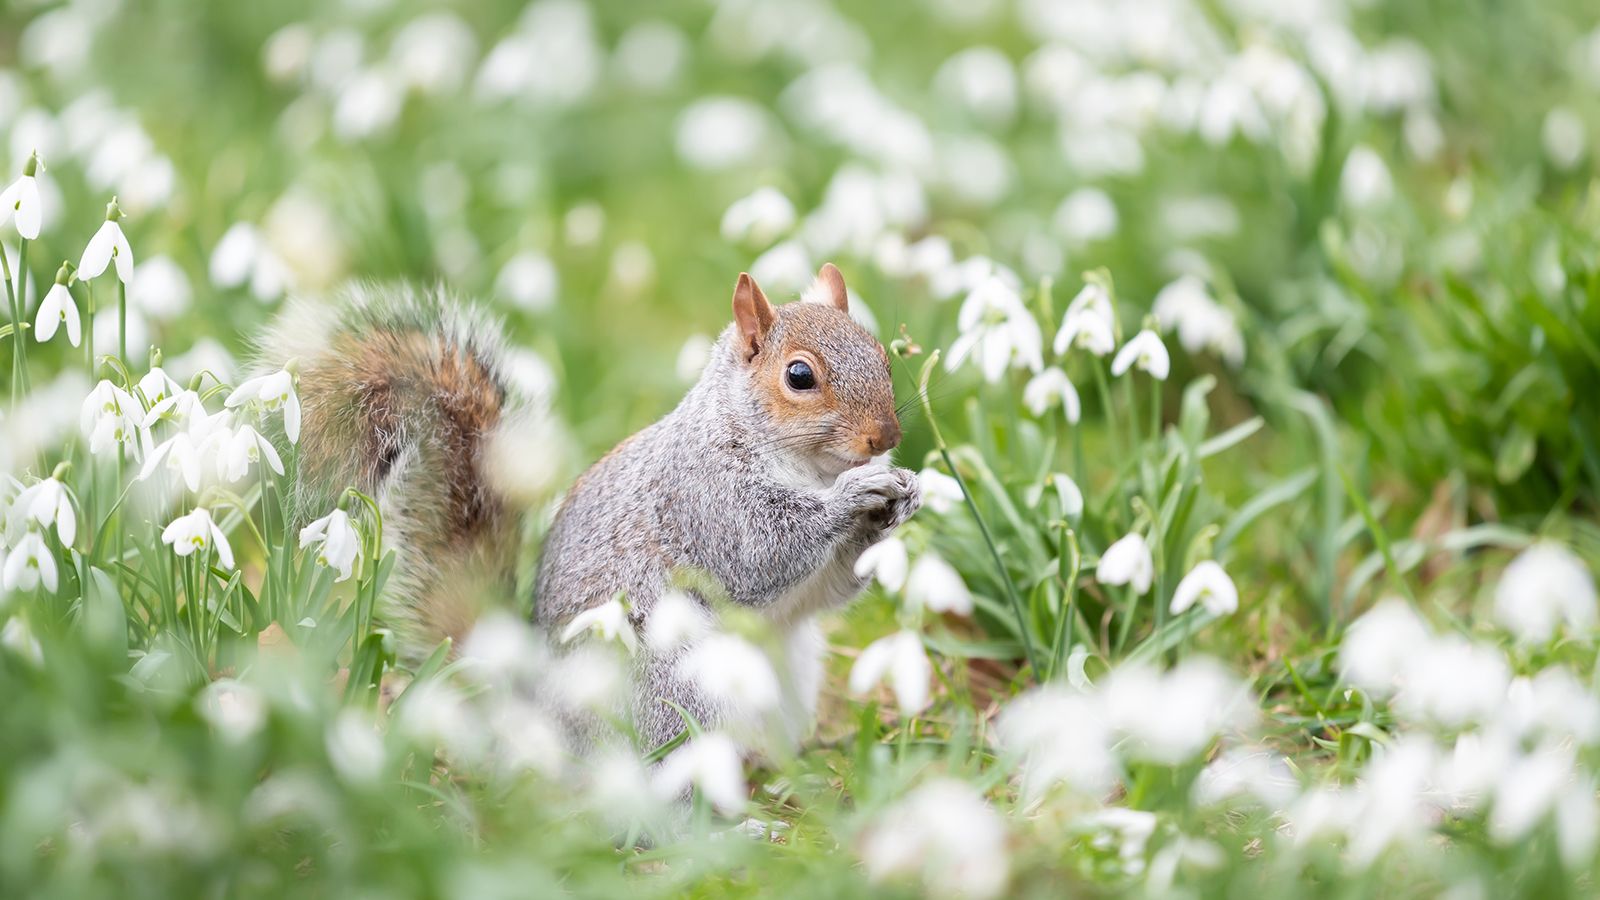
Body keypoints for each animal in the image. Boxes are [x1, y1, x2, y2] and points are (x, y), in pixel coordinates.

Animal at [261, 265, 921, 751]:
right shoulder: (705, 496)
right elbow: (764, 554)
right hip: (670, 690)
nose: (885, 437)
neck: (809, 468)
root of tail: (540, 719)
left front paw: (902, 496)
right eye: (799, 376)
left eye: (883, 357)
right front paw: (855, 496)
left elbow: (826, 591)